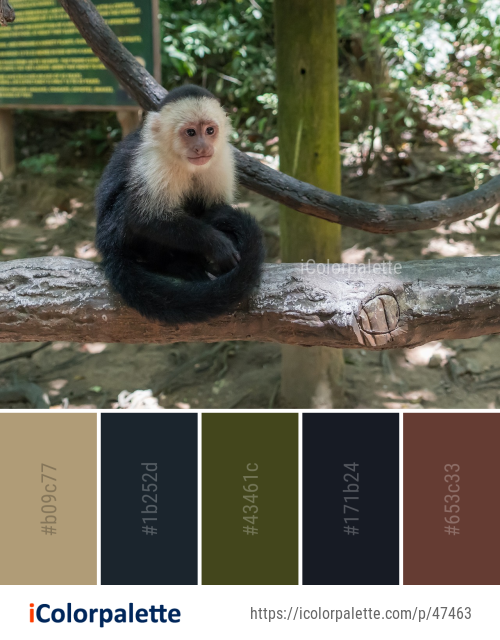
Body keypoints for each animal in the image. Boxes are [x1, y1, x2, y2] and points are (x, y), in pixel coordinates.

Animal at [95, 85, 265, 324]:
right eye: (191, 133)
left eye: (210, 131)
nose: (202, 147)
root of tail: (107, 248)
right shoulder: (155, 161)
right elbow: (146, 218)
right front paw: (217, 244)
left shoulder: (221, 158)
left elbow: (215, 208)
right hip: (115, 236)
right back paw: (172, 265)